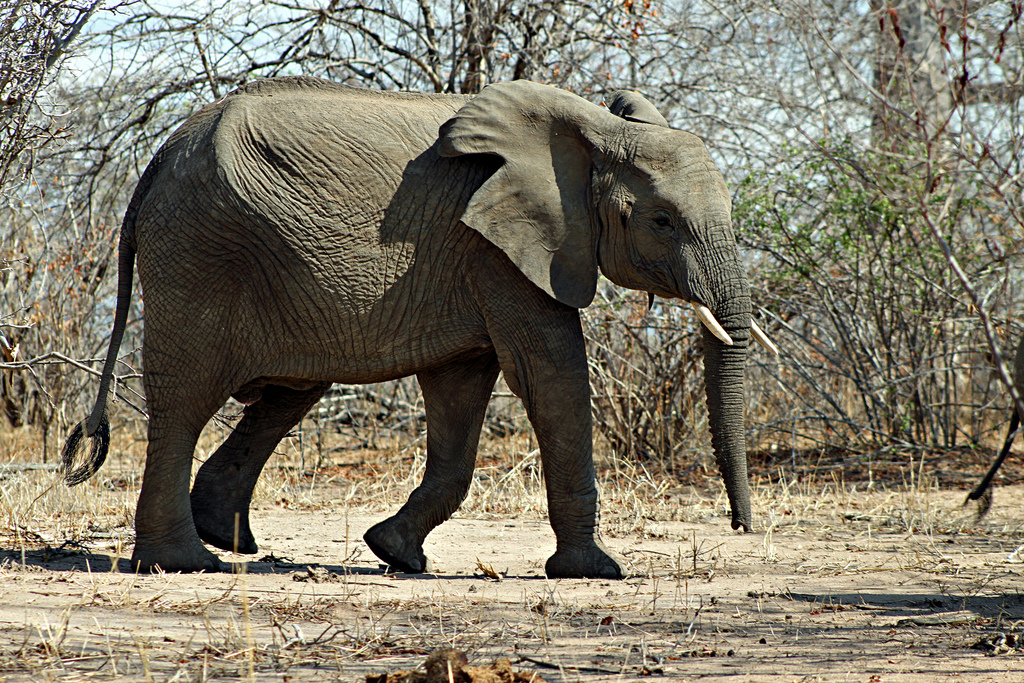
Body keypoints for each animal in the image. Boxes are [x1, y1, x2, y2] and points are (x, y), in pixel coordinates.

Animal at [61, 77, 776, 577]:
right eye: (661, 221)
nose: (739, 526)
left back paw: (225, 537)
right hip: (200, 254)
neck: (595, 131)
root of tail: (158, 158)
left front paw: (396, 553)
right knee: (184, 399)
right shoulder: (498, 247)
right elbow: (551, 379)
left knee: (292, 389)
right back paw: (185, 562)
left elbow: (461, 389)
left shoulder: (474, 259)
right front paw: (597, 571)